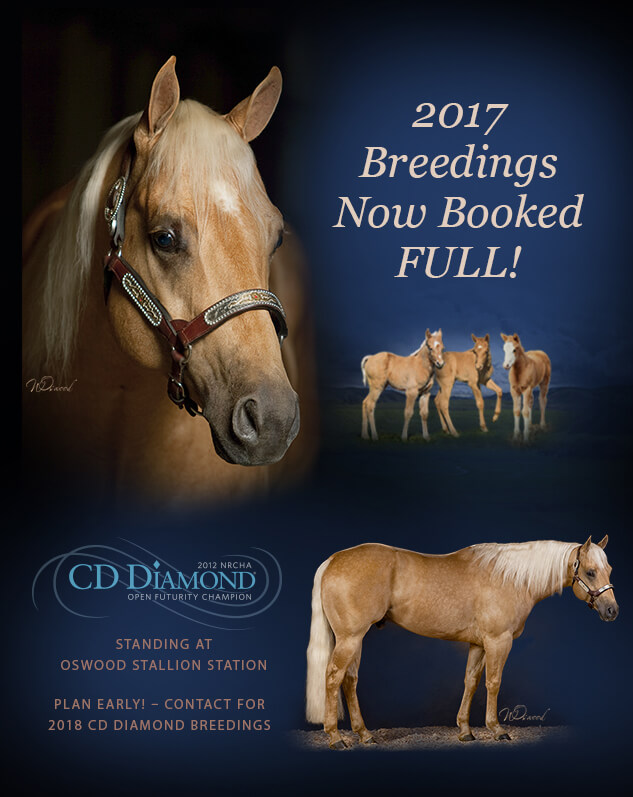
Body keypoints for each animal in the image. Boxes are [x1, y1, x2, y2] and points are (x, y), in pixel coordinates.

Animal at [305, 536, 617, 749]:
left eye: (609, 569)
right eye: (590, 571)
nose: (612, 610)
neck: (510, 578)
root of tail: (333, 560)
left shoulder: (478, 644)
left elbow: (471, 681)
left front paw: (465, 731)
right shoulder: (498, 641)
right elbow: (493, 682)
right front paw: (497, 729)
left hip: (355, 639)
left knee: (350, 681)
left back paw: (365, 734)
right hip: (350, 638)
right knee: (333, 677)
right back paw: (335, 737)